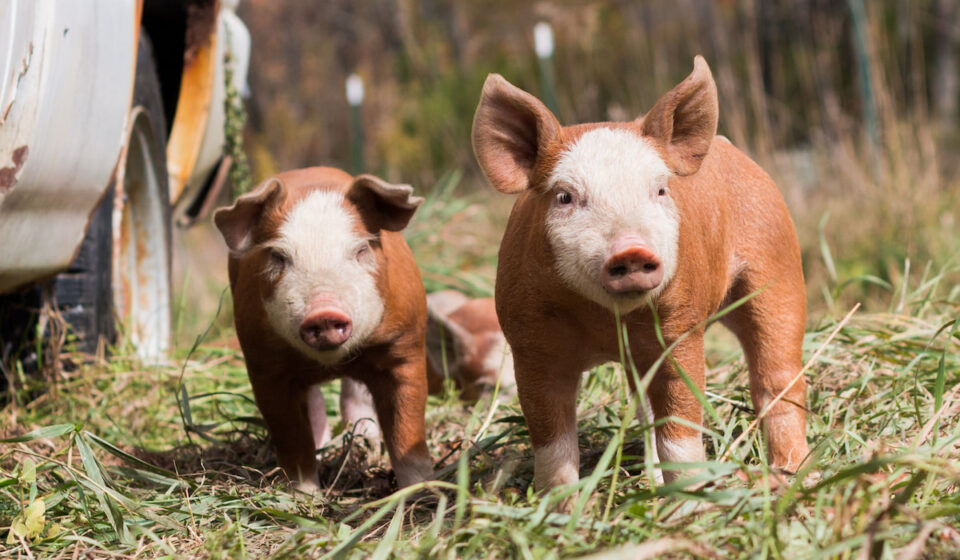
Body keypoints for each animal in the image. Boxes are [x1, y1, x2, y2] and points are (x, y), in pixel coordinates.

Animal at [213, 166, 433, 491]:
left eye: (361, 249)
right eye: (279, 257)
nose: (324, 312)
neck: (332, 363)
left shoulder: (405, 346)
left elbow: (407, 430)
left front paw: (422, 492)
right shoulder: (263, 364)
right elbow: (292, 439)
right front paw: (305, 495)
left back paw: (363, 441)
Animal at [471, 56, 809, 493]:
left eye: (661, 190)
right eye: (564, 196)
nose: (631, 249)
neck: (606, 323)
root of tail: (731, 149)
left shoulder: (681, 329)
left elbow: (681, 430)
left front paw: (689, 498)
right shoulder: (529, 343)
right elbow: (553, 444)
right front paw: (559, 503)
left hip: (778, 263)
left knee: (778, 374)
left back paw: (793, 473)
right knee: (646, 407)